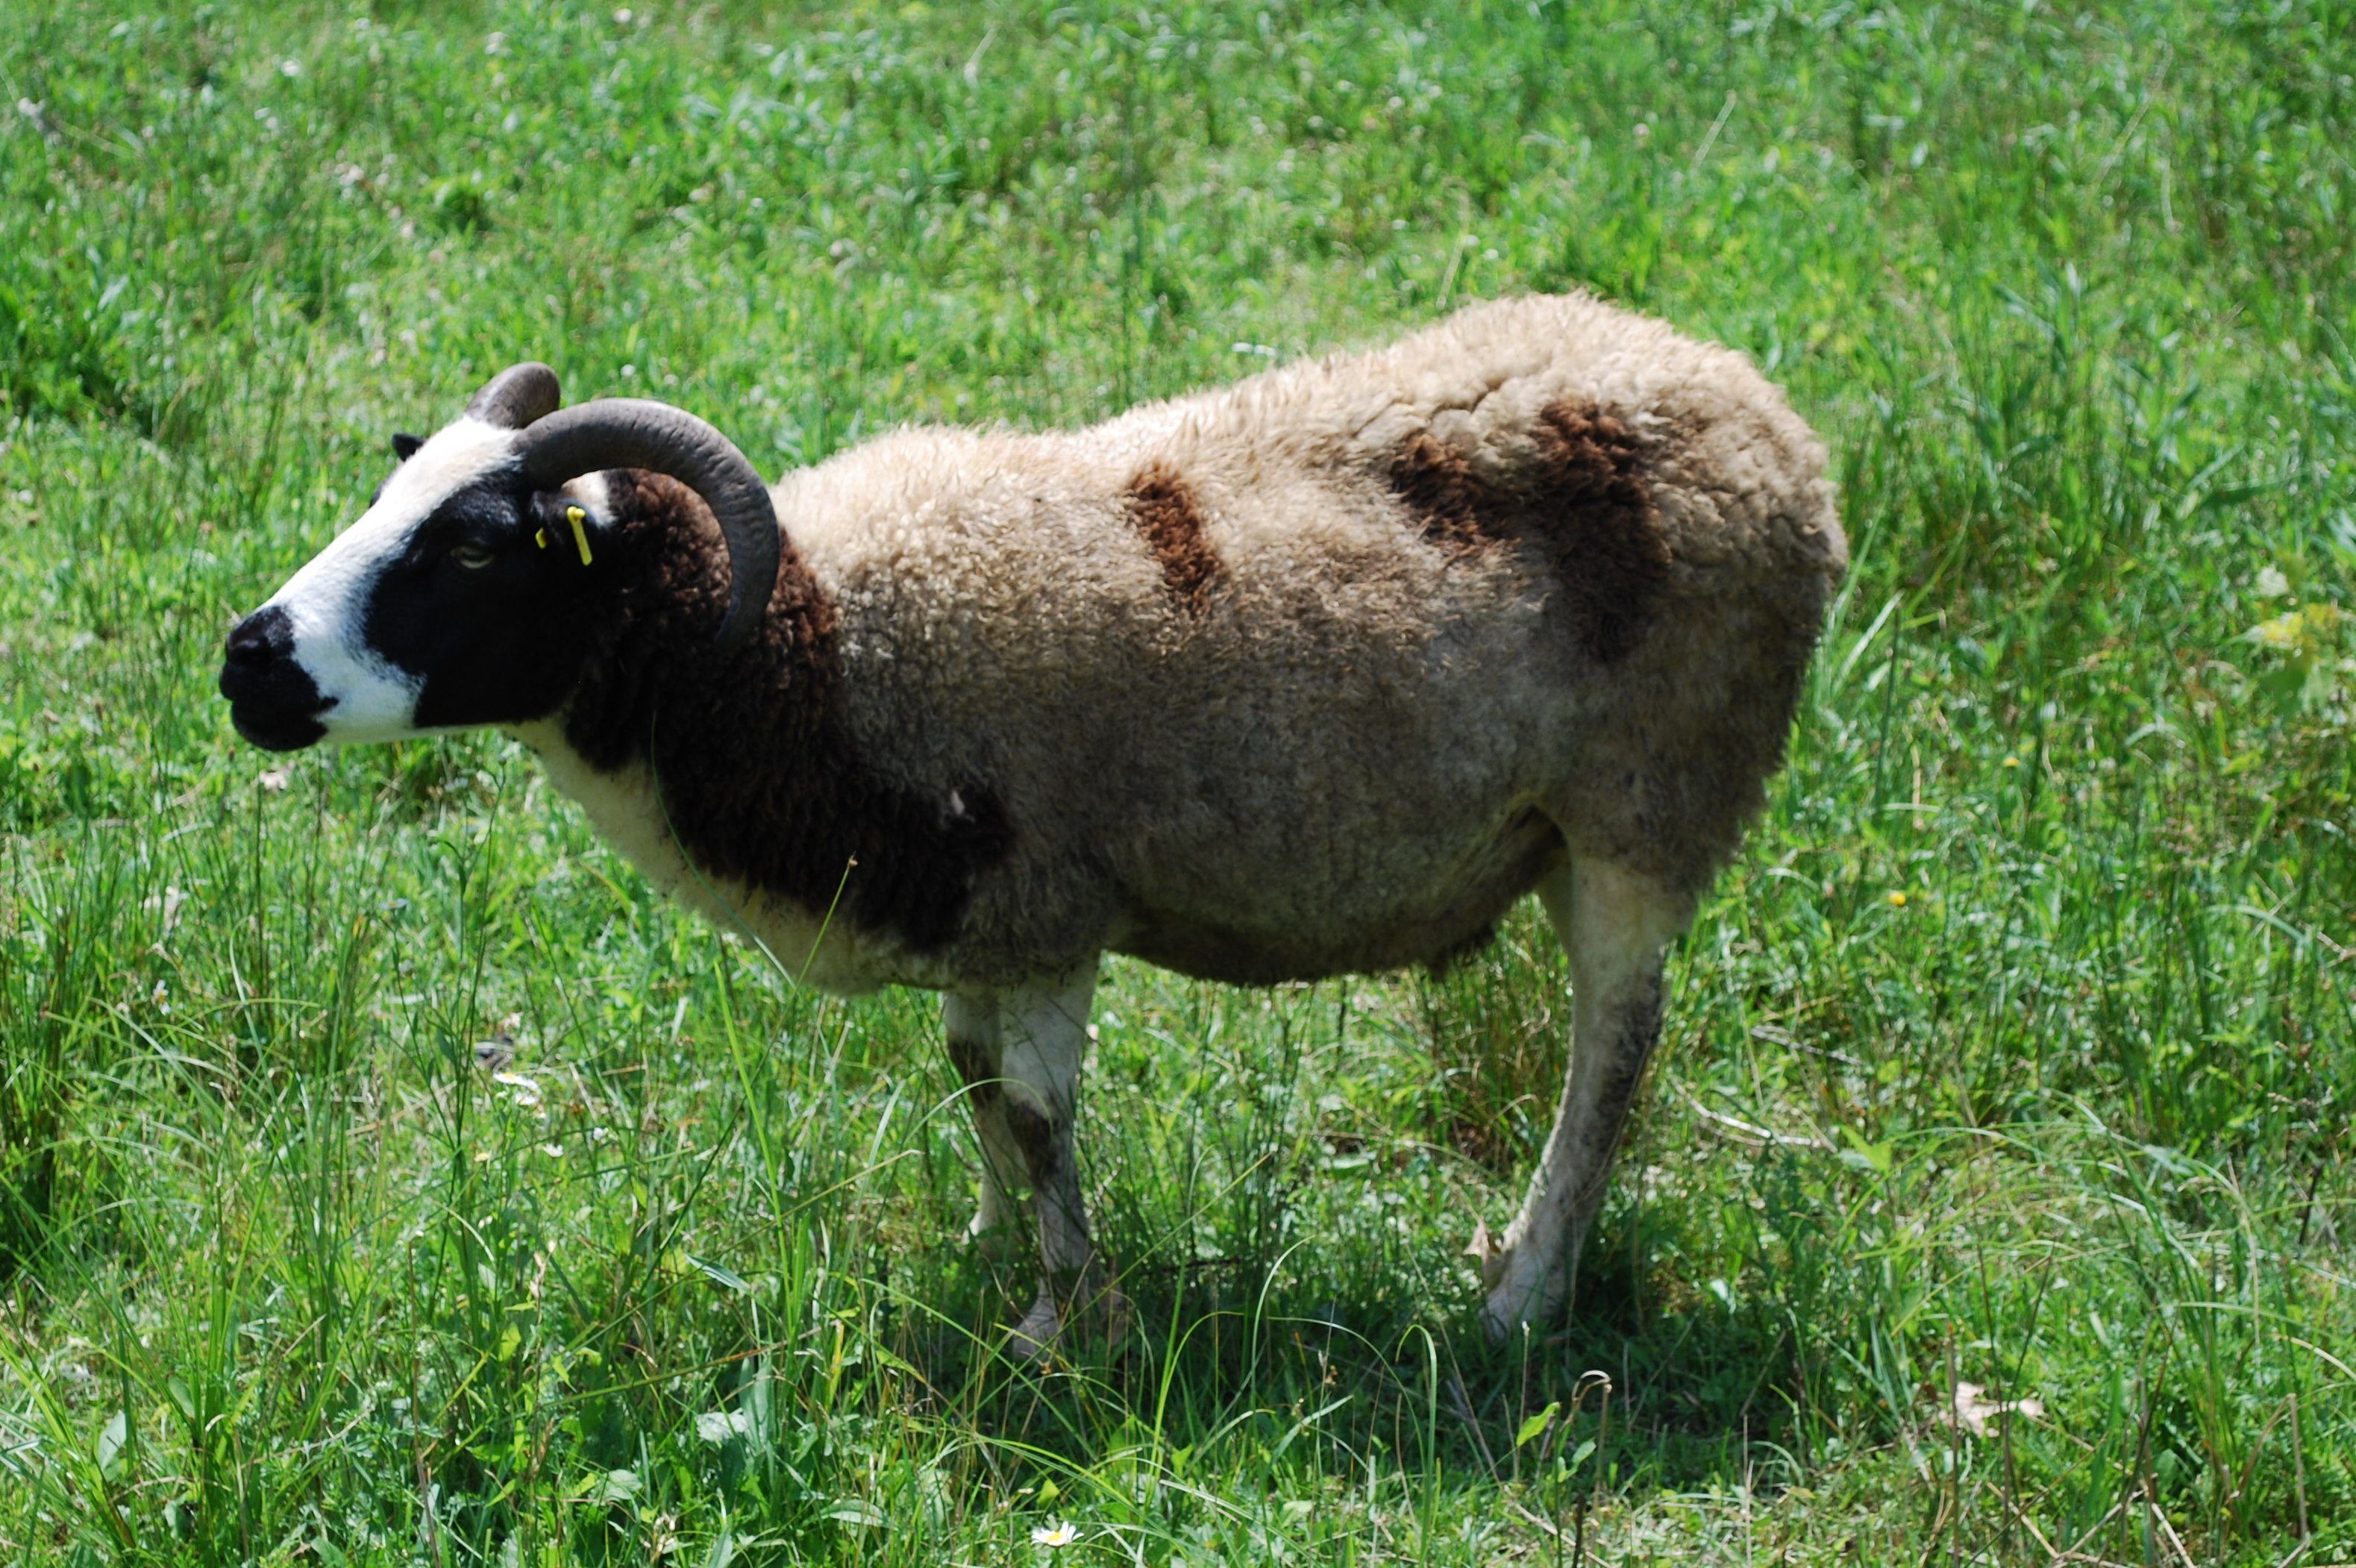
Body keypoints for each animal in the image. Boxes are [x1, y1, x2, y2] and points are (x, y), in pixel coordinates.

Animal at [219, 293, 1846, 1350]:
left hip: (1643, 805)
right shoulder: (980, 930)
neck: (808, 645)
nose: (246, 661)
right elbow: (974, 1084)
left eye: (471, 549)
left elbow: (1043, 1113)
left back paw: (1521, 1295)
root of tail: (1767, 415)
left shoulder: (1050, 914)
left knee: (1610, 1052)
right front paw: (988, 1247)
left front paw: (1062, 1322)